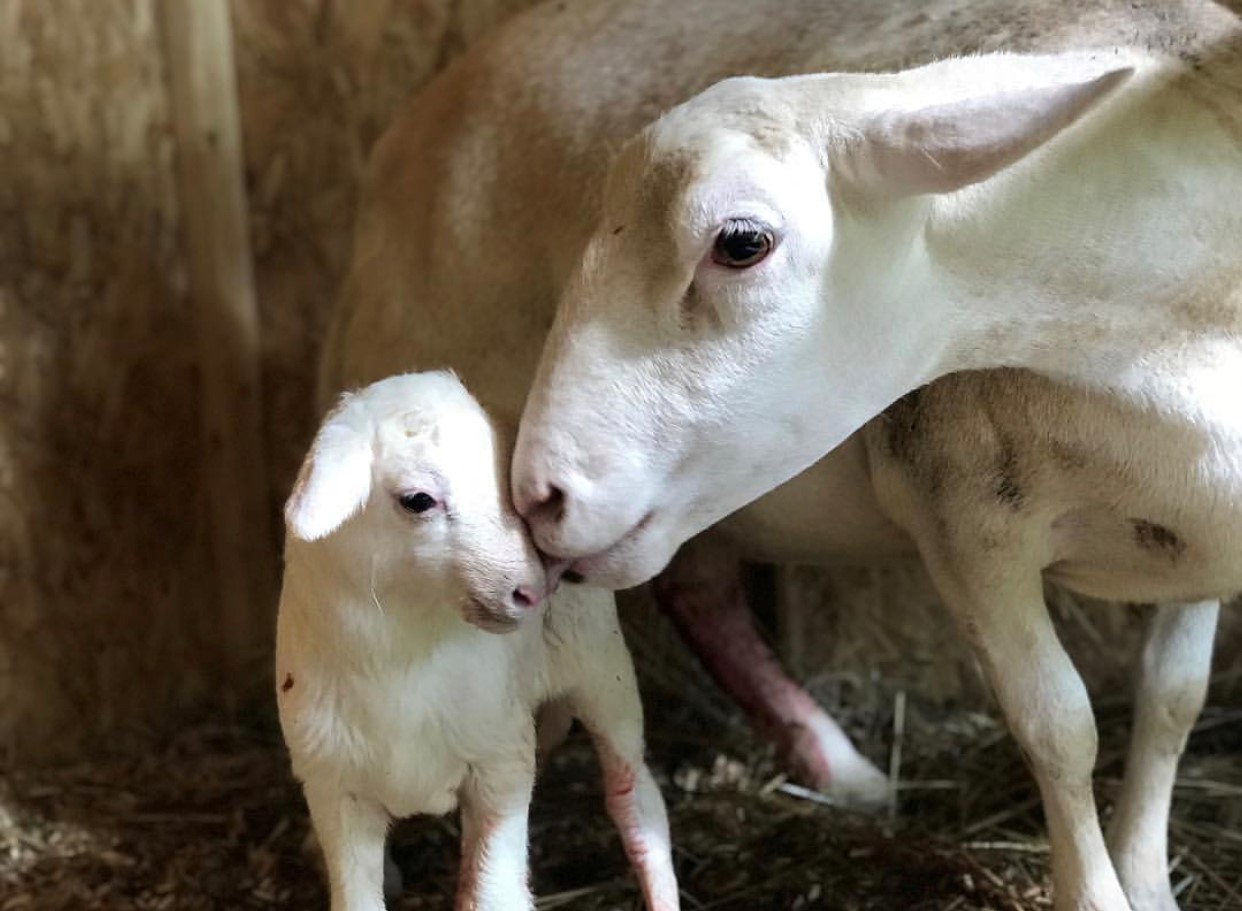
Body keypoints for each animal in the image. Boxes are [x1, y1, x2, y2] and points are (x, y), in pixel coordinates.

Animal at [275, 371, 679, 911]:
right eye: (418, 500)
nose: (532, 590)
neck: (401, 659)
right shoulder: (331, 784)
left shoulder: (500, 762)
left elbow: (490, 895)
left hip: (602, 667)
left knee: (634, 797)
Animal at [318, 2, 1239, 909]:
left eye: (740, 242)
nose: (538, 495)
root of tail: (417, 119)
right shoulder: (963, 522)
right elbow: (1060, 726)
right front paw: (1100, 888)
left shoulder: (1196, 542)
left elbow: (1171, 701)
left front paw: (1147, 877)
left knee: (700, 592)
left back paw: (840, 764)